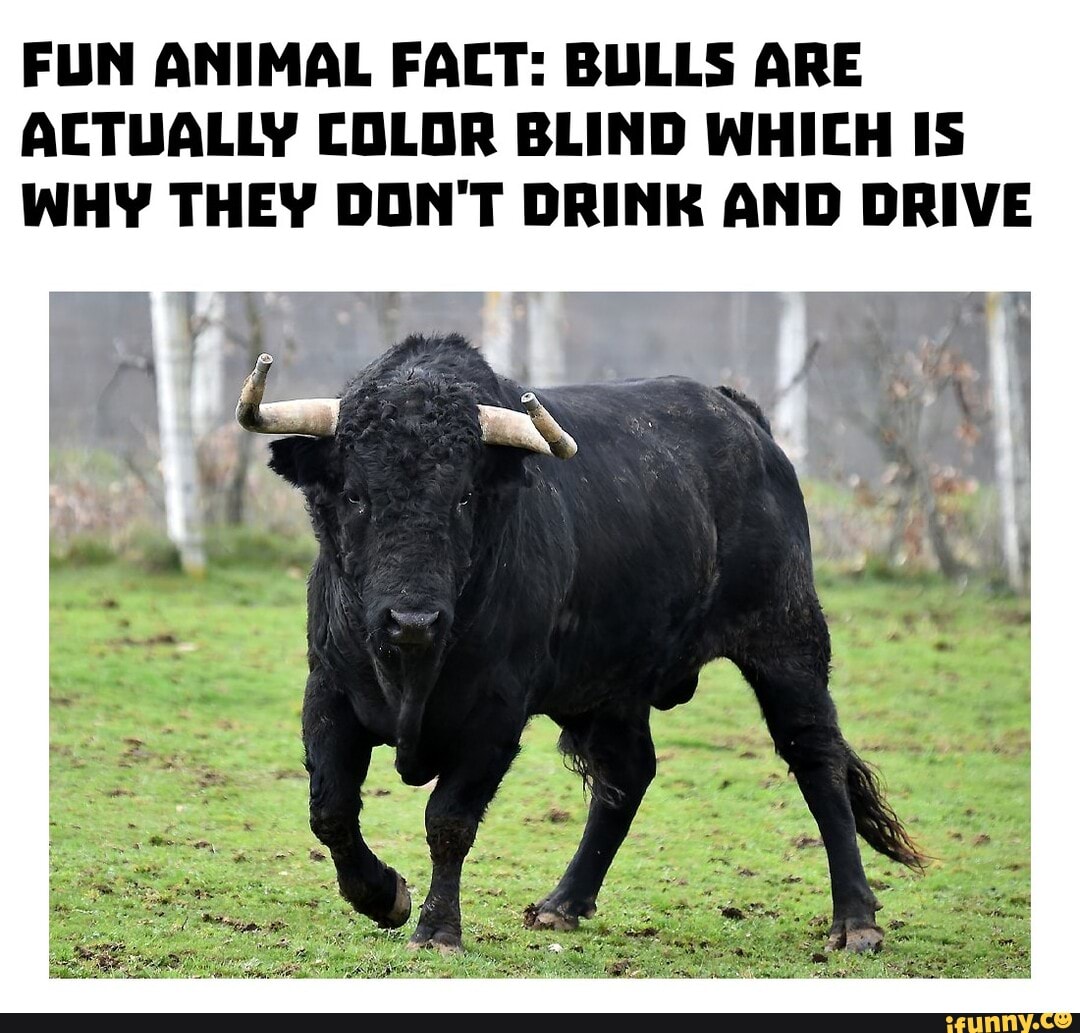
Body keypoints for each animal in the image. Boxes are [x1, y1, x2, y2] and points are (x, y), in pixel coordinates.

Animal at [234, 332, 925, 956]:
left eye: (464, 496)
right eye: (355, 494)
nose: (411, 620)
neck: (412, 670)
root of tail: (744, 421)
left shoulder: (494, 716)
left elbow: (449, 821)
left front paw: (438, 931)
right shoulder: (329, 692)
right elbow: (331, 809)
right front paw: (383, 897)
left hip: (788, 642)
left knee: (817, 760)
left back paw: (856, 923)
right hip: (611, 689)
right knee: (629, 774)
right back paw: (562, 903)